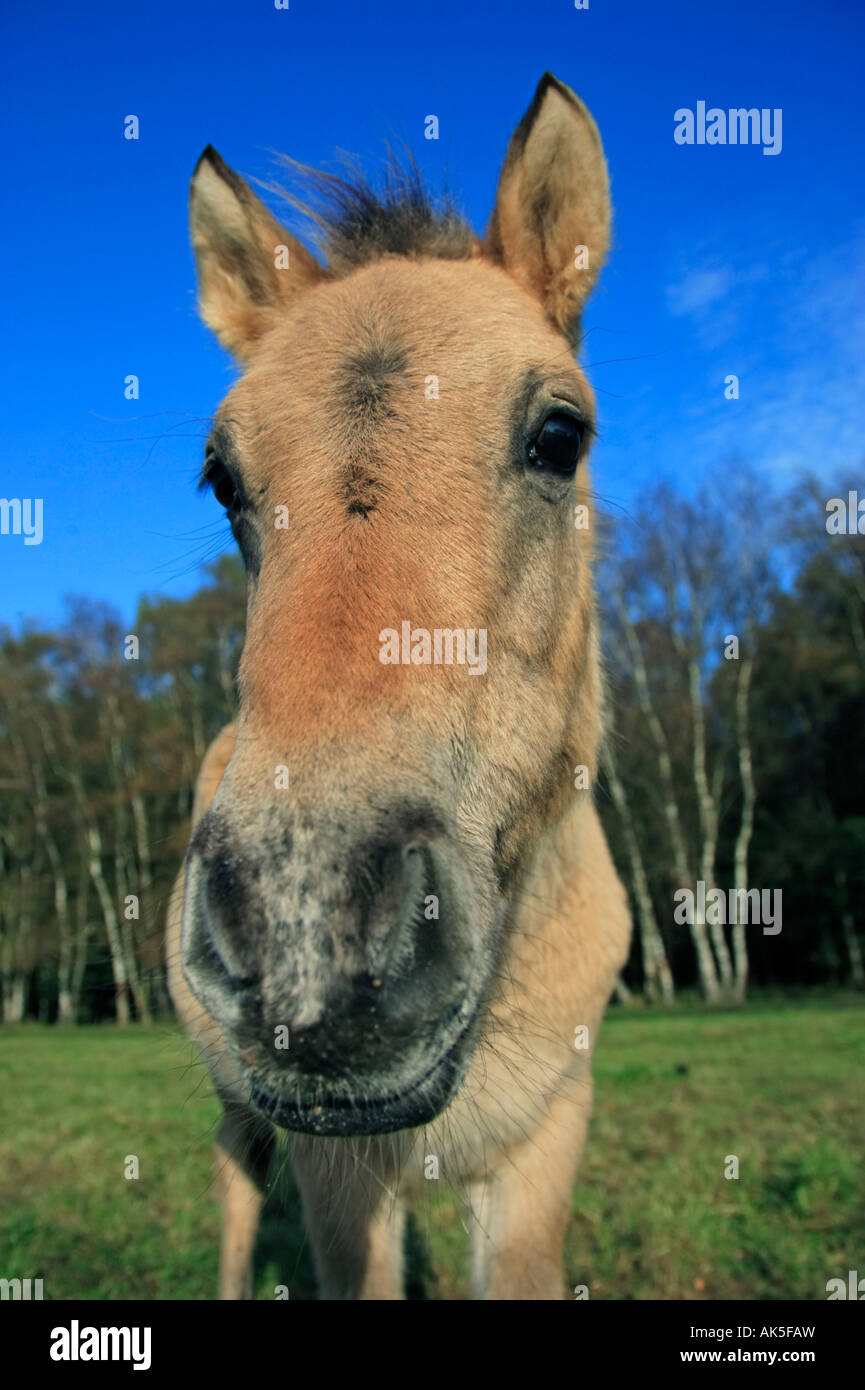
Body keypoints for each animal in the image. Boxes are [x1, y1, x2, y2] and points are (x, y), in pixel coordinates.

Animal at [166, 71, 631, 1300]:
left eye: (559, 434)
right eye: (222, 478)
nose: (306, 934)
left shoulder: (541, 1146)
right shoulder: (334, 1173)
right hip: (242, 1116)